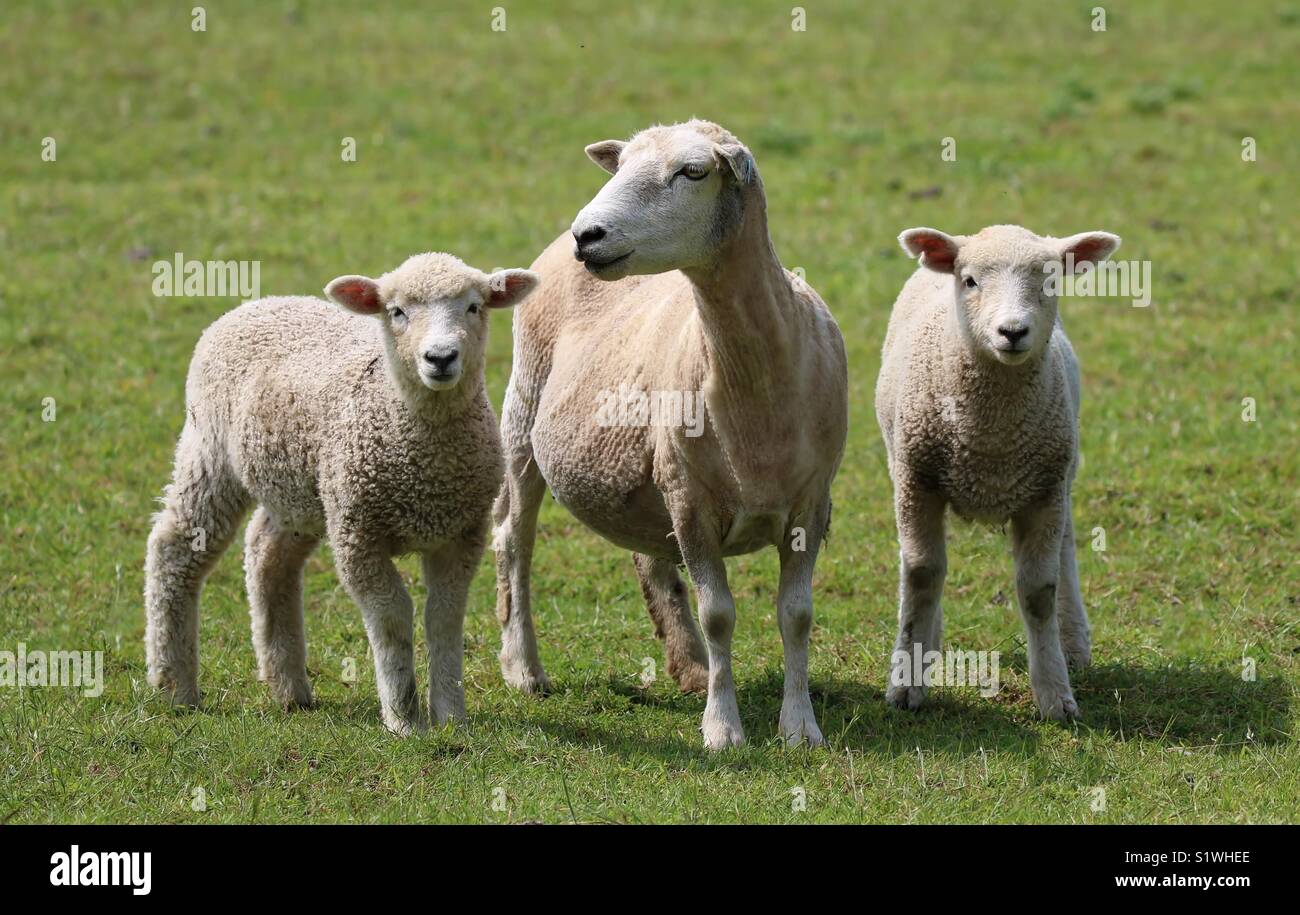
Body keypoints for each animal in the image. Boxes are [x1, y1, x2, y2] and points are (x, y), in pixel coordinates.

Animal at [144, 253, 539, 735]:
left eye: (474, 307)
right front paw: (403, 719)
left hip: (301, 492)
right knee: (175, 547)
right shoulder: (358, 532)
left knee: (267, 554)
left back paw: (288, 687)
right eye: (396, 312)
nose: (440, 357)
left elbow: (444, 616)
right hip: (210, 451)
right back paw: (175, 686)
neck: (426, 461)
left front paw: (450, 717)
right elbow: (392, 615)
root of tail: (257, 303)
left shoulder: (461, 533)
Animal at [492, 120, 848, 749]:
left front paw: (800, 726)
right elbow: (719, 615)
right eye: (621, 166)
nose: (588, 234)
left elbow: (797, 614)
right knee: (514, 539)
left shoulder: (812, 502)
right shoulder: (691, 502)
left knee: (648, 557)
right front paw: (723, 728)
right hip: (524, 406)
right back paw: (524, 669)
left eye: (693, 171)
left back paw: (690, 666)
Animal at [875, 224, 1121, 720]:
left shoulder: (1044, 492)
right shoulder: (916, 481)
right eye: (970, 281)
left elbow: (1039, 590)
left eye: (1051, 280)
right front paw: (906, 682)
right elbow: (922, 574)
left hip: (1063, 474)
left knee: (1066, 551)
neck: (992, 440)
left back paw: (1073, 644)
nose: (1012, 331)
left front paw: (1055, 694)